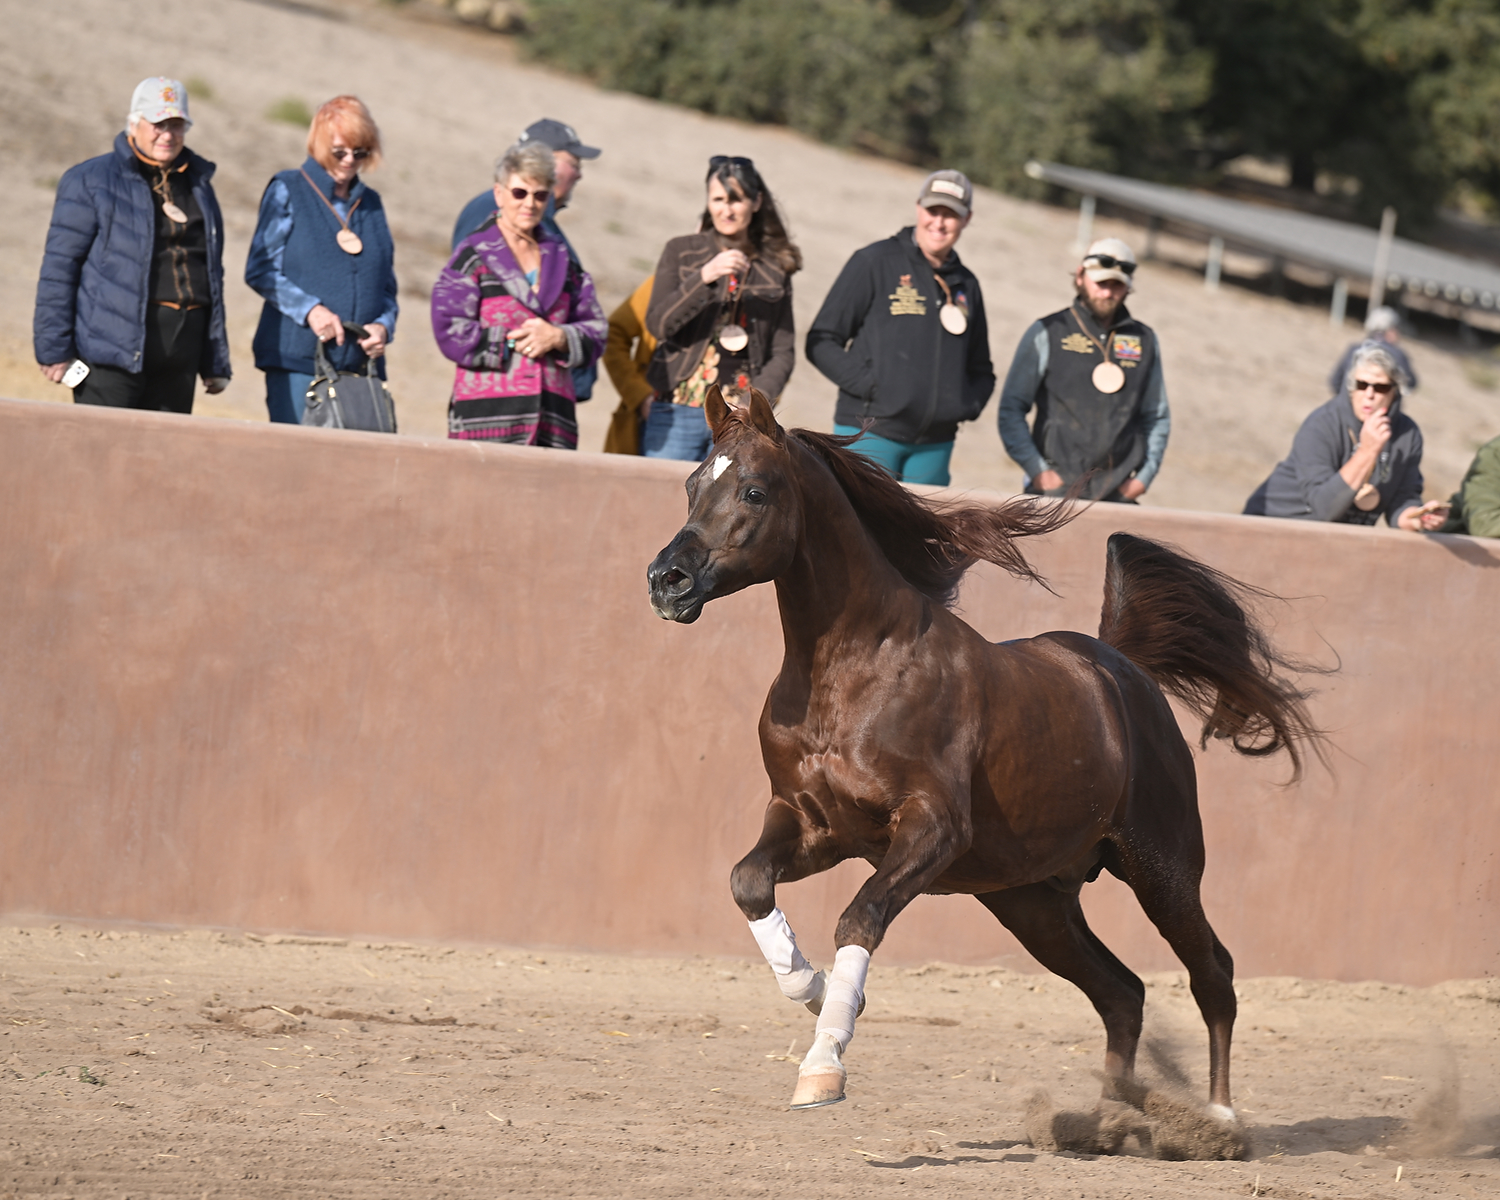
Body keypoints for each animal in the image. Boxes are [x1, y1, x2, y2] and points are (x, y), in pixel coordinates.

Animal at [647, 387, 1320, 1129]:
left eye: (754, 490)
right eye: (691, 485)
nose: (666, 581)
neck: (852, 671)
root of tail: (1122, 672)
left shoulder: (932, 830)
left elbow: (859, 916)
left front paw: (824, 1063)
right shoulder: (813, 824)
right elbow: (748, 882)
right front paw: (816, 988)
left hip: (1162, 869)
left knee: (1213, 973)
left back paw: (1221, 1119)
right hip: (1032, 902)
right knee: (1123, 992)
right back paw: (1107, 1123)